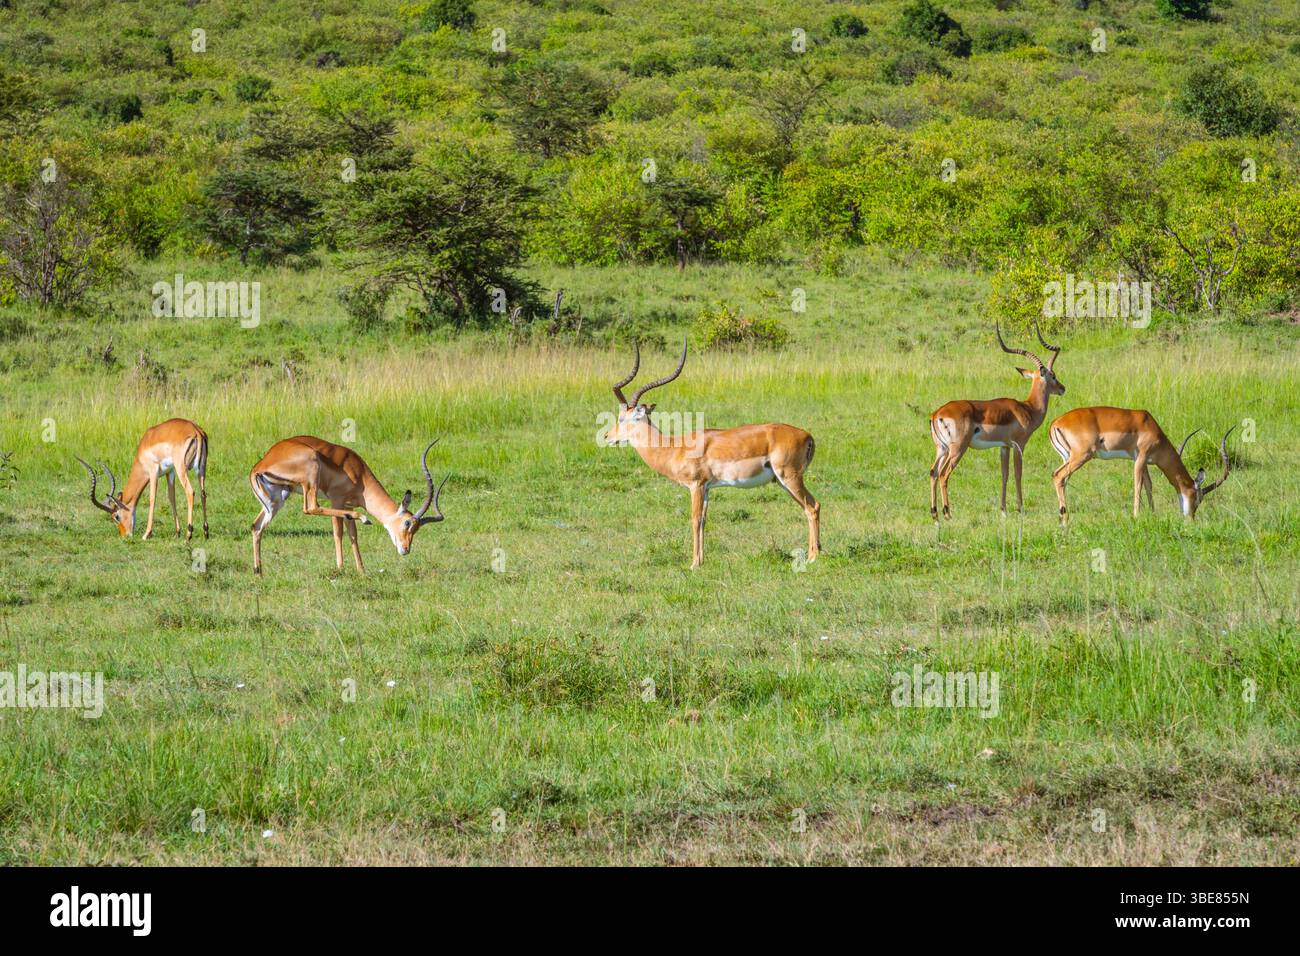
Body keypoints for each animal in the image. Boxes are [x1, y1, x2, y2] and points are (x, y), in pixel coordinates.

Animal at [75, 418, 209, 540]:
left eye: (116, 517)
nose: (125, 536)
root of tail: (196, 431)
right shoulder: (170, 472)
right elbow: (171, 497)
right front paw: (177, 532)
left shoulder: (153, 471)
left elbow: (152, 499)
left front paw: (146, 534)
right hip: (201, 469)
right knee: (203, 494)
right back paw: (206, 532)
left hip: (181, 468)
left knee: (190, 492)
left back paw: (189, 535)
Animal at [249, 436, 448, 574]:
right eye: (407, 523)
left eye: (417, 529)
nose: (405, 549)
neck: (358, 474)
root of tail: (262, 463)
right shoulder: (337, 500)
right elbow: (338, 533)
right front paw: (341, 568)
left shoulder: (348, 506)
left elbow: (353, 535)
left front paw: (362, 571)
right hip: (309, 480)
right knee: (310, 508)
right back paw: (364, 518)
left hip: (277, 499)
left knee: (256, 526)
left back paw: (258, 571)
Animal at [604, 339, 819, 569]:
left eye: (622, 418)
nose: (607, 436)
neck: (675, 448)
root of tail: (807, 436)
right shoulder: (707, 488)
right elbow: (704, 521)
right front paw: (701, 561)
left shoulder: (696, 485)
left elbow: (695, 519)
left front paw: (693, 565)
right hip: (782, 481)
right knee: (808, 508)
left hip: (790, 478)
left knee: (813, 506)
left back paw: (814, 557)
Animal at [929, 324, 1065, 518]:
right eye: (1052, 375)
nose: (1062, 388)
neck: (1027, 408)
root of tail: (937, 414)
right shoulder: (1018, 445)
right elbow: (1018, 474)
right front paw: (1020, 508)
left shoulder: (1004, 447)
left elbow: (1004, 475)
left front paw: (1003, 510)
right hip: (957, 449)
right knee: (943, 474)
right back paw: (947, 513)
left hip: (941, 449)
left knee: (933, 472)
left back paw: (934, 513)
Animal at [1049, 407, 1234, 519]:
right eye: (1198, 497)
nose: (1191, 518)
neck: (1151, 427)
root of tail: (1056, 423)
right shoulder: (1140, 459)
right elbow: (1138, 485)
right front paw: (1136, 516)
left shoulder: (1144, 462)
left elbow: (1149, 485)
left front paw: (1152, 514)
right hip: (1082, 456)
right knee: (1058, 476)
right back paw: (1064, 519)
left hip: (1067, 458)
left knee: (1061, 479)